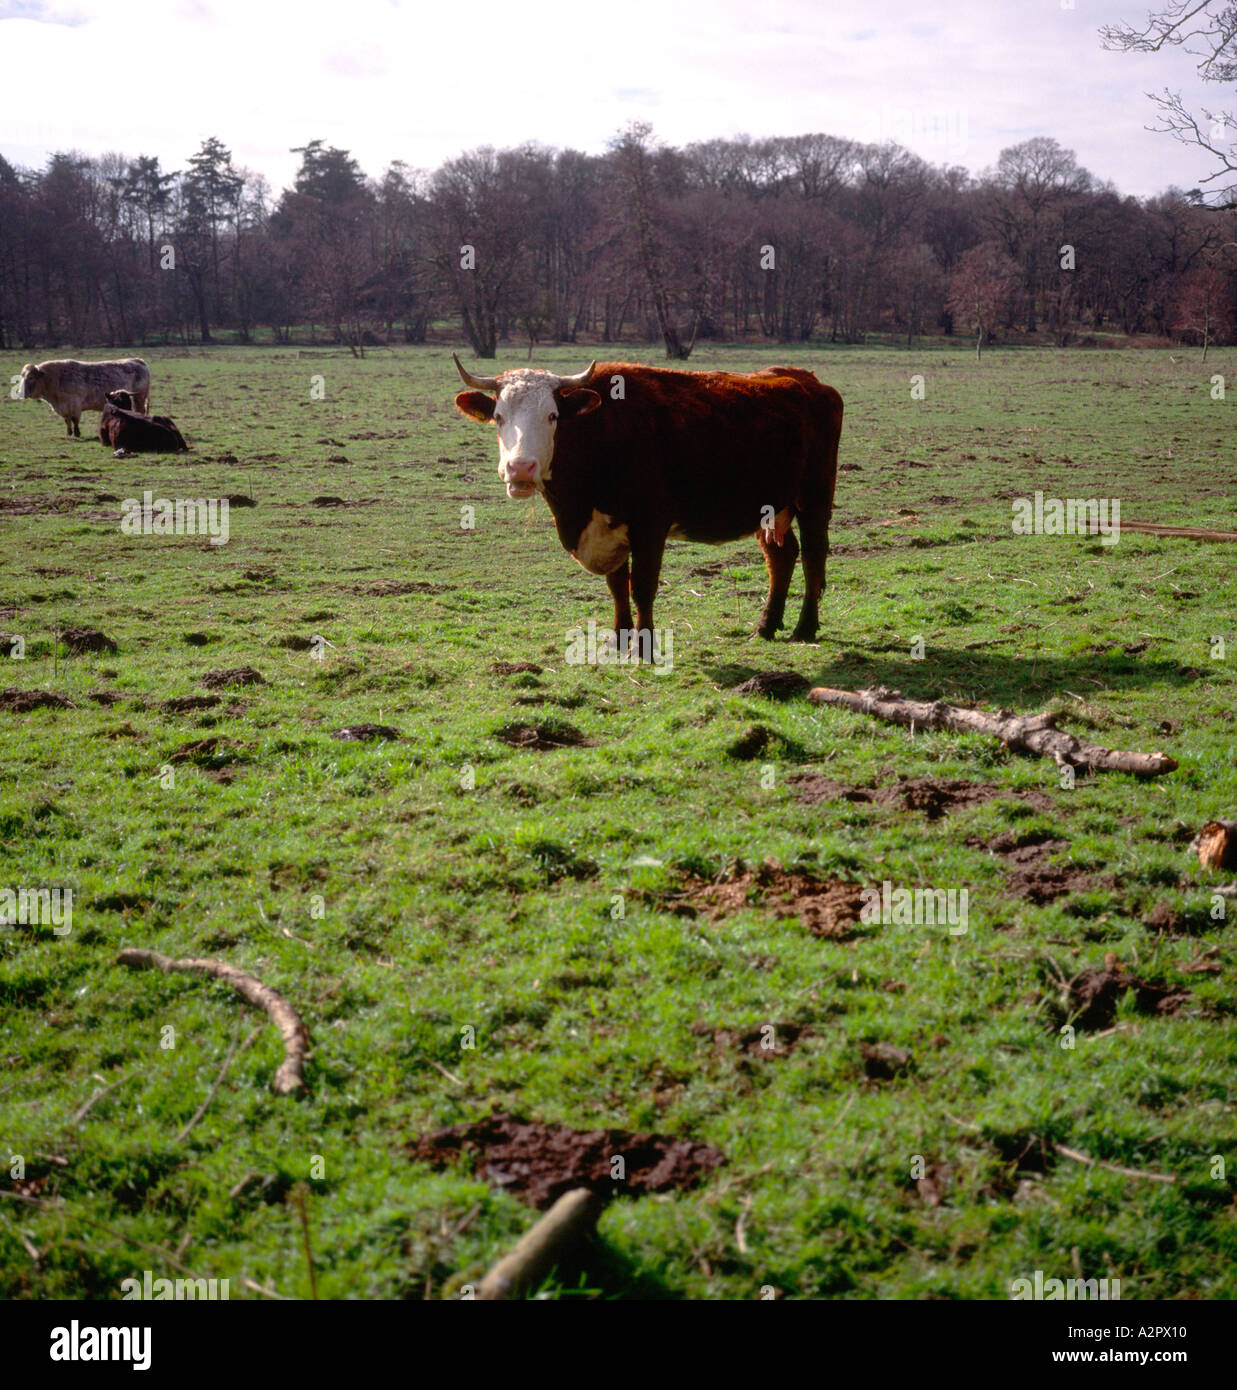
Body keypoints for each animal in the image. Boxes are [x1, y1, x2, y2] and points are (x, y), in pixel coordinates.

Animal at [18, 358, 151, 438]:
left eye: (31, 377)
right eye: (22, 376)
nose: (21, 393)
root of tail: (138, 360)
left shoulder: (75, 404)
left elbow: (74, 420)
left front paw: (76, 433)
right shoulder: (64, 408)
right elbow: (67, 420)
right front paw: (69, 433)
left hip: (139, 398)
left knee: (140, 411)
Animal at [452, 355, 843, 647]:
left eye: (552, 416)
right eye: (499, 417)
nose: (520, 468)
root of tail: (805, 379)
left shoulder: (650, 525)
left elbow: (641, 587)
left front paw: (643, 646)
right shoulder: (610, 531)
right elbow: (617, 587)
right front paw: (620, 639)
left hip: (814, 498)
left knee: (812, 556)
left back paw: (805, 627)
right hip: (771, 506)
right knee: (781, 557)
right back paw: (766, 626)